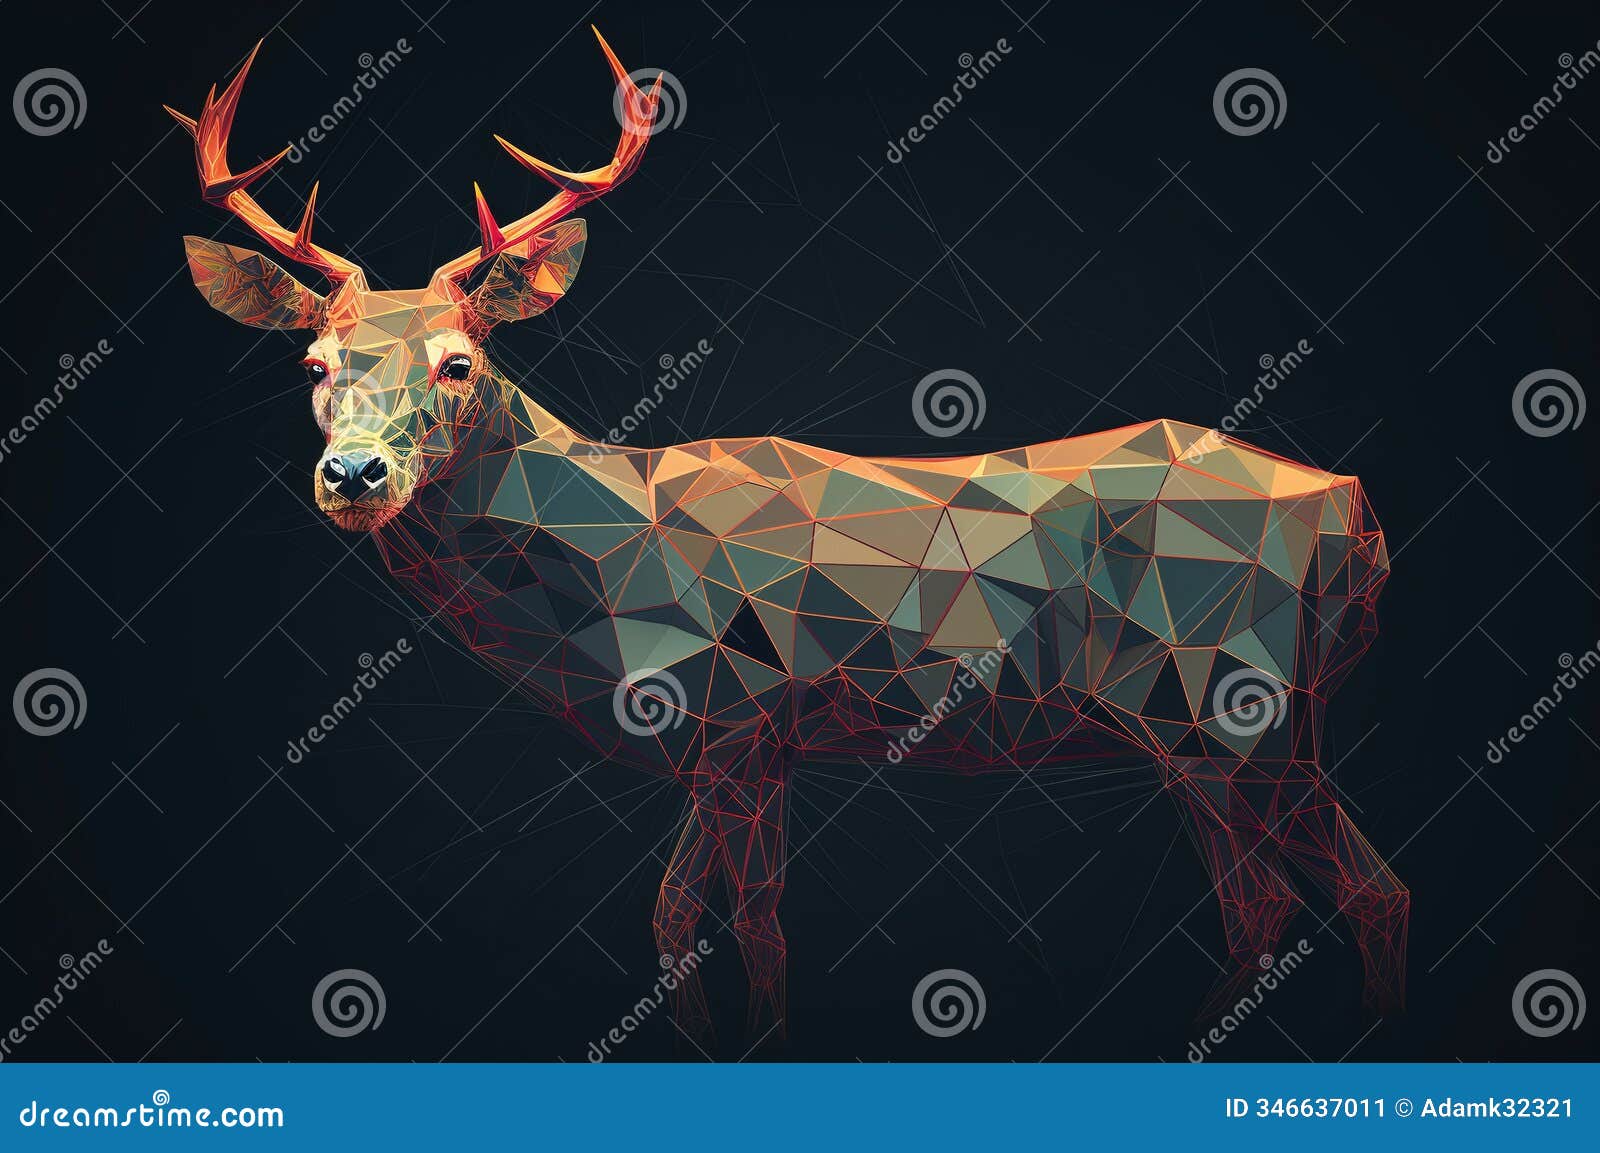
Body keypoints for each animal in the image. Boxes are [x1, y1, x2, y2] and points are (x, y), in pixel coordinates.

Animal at [168, 30, 1407, 1044]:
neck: (605, 562)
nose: (353, 474)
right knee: (1323, 896)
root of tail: (1357, 510)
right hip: (1238, 723)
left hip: (1221, 698)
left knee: (1312, 895)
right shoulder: (723, 745)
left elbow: (742, 917)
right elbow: (673, 915)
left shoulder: (747, 715)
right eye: (313, 365)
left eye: (459, 362)